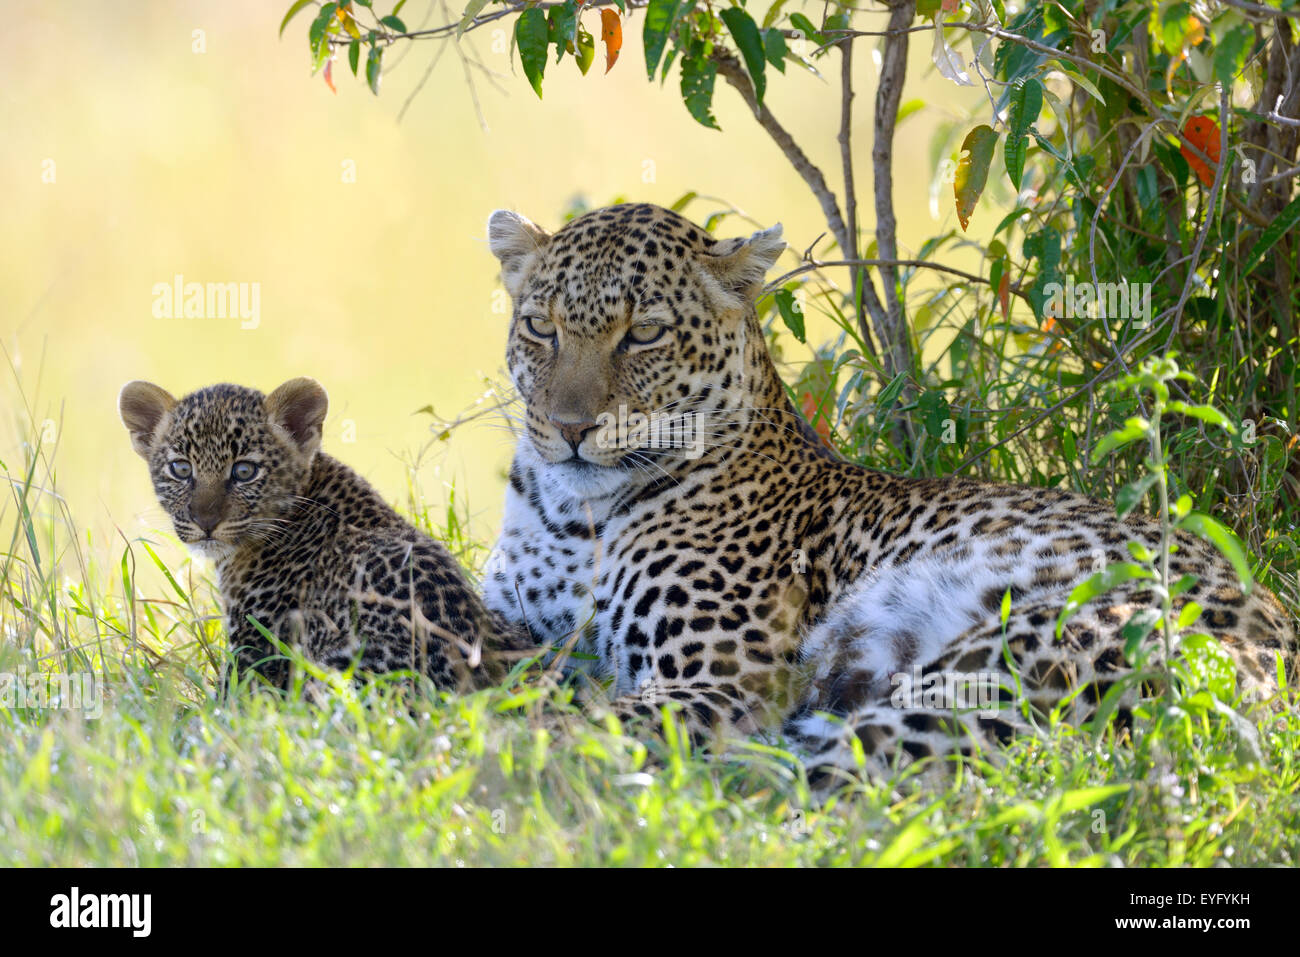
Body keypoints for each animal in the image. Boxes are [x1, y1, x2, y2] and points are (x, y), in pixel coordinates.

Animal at [481, 201, 1297, 778]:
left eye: (644, 333)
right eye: (541, 328)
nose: (570, 426)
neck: (570, 516)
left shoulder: (722, 678)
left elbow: (562, 725)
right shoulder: (510, 628)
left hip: (1003, 660)